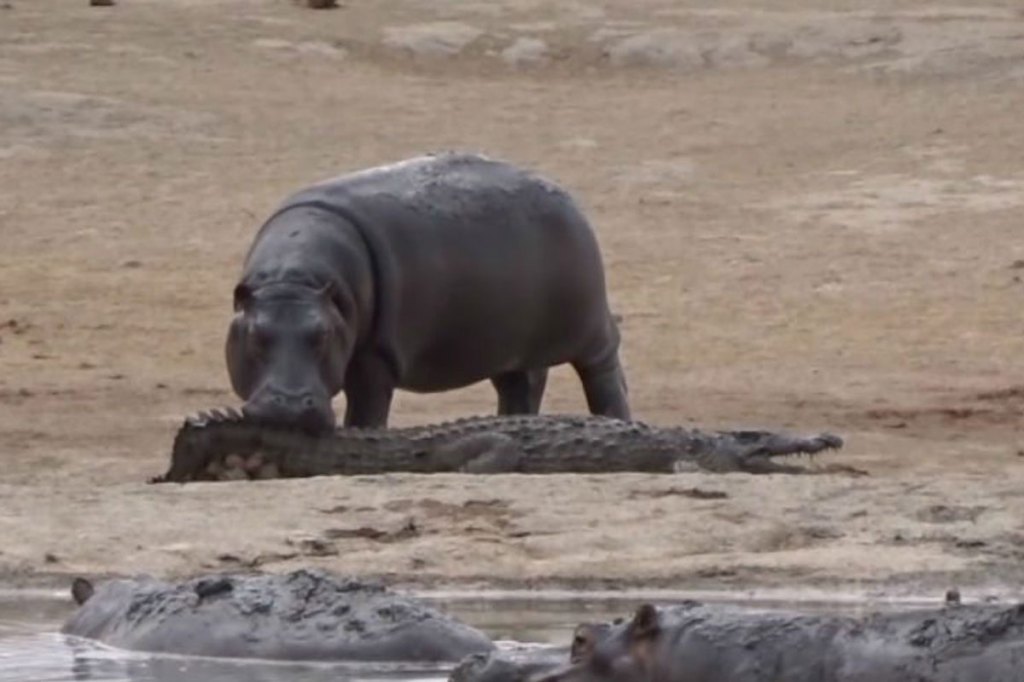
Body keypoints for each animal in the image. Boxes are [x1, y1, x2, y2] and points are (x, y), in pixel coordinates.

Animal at [227, 152, 630, 433]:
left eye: (322, 336)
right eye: (255, 335)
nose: (289, 407)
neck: (294, 279)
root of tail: (566, 196)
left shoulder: (377, 355)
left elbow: (367, 410)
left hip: (590, 328)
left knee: (605, 373)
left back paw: (620, 422)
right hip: (511, 348)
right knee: (522, 386)